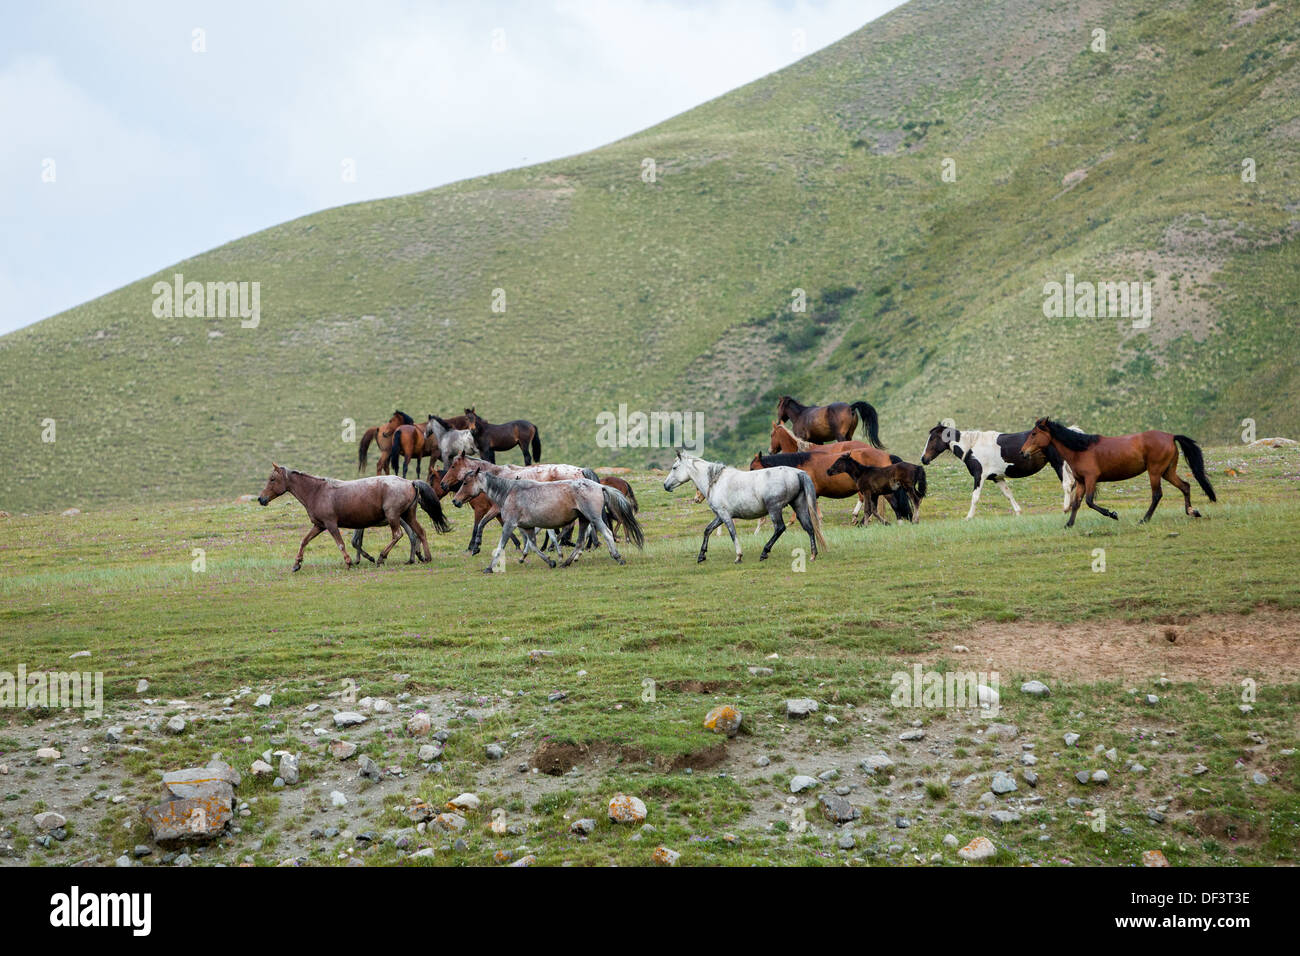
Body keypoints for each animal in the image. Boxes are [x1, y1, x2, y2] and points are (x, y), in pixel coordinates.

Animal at [257, 463, 451, 571]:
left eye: (272, 479)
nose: (261, 499)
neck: (317, 491)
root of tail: (410, 482)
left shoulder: (331, 524)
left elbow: (341, 544)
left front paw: (349, 562)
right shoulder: (319, 526)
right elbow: (304, 541)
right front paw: (297, 564)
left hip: (394, 516)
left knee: (398, 535)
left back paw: (381, 557)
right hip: (408, 516)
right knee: (421, 532)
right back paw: (426, 557)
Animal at [452, 469, 642, 573]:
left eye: (466, 482)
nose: (455, 501)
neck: (509, 492)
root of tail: (600, 485)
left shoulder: (509, 525)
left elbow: (501, 547)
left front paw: (489, 568)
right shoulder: (528, 527)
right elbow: (533, 545)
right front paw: (550, 561)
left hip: (593, 518)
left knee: (607, 534)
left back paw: (617, 557)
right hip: (583, 520)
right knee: (580, 542)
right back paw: (566, 562)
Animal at [664, 451, 826, 564]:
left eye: (674, 467)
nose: (665, 485)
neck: (715, 481)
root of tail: (798, 473)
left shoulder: (725, 516)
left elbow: (732, 534)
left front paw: (738, 556)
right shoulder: (720, 516)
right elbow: (708, 530)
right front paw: (701, 556)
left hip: (774, 509)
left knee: (780, 528)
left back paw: (764, 552)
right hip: (798, 506)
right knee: (809, 528)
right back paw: (813, 555)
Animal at [920, 421, 1068, 519]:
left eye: (933, 438)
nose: (923, 459)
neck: (971, 446)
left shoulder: (979, 476)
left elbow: (975, 497)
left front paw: (968, 517)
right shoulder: (997, 478)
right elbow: (1008, 494)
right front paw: (1018, 512)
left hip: (1059, 465)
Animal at [1020, 418, 1216, 528]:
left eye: (1034, 433)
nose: (1022, 452)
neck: (1080, 449)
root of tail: (1170, 436)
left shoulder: (1091, 479)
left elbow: (1089, 502)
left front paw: (1113, 514)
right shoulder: (1082, 482)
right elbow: (1076, 504)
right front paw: (1068, 524)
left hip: (1154, 471)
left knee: (1157, 495)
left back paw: (1144, 520)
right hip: (1167, 471)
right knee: (1185, 486)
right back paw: (1192, 512)